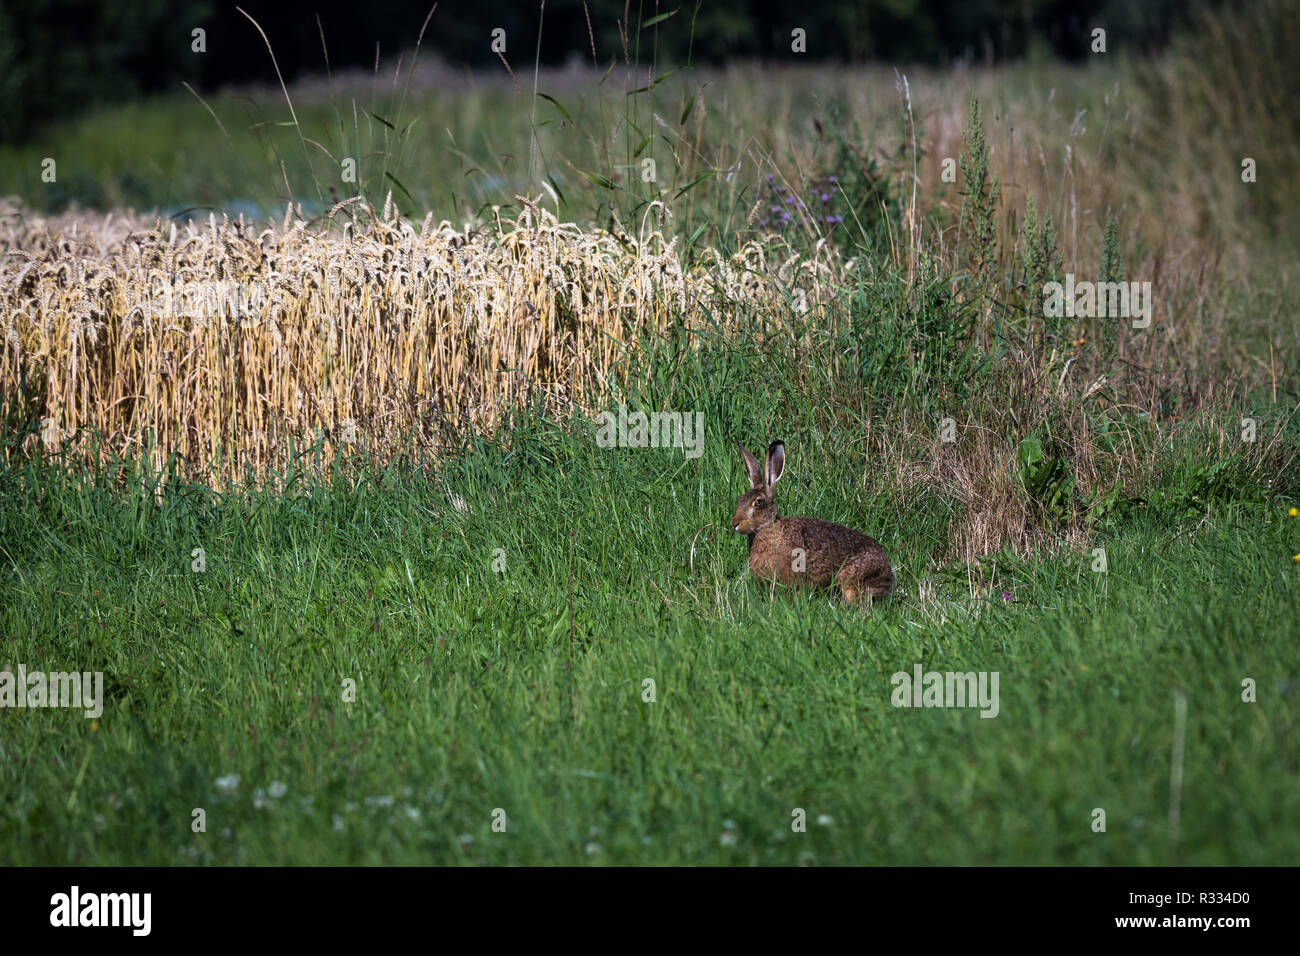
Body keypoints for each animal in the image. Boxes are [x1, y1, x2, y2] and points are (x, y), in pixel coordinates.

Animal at [732, 440, 894, 605]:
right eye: (739, 500)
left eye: (758, 503)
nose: (734, 524)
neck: (767, 528)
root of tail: (888, 569)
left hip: (852, 579)